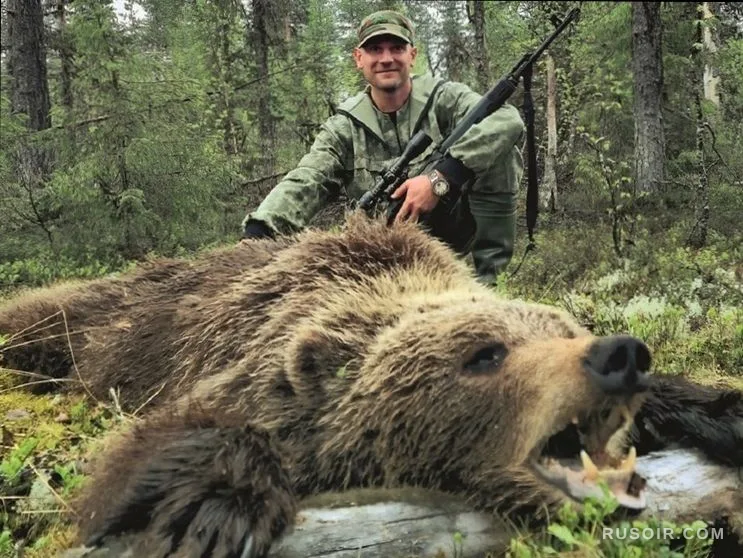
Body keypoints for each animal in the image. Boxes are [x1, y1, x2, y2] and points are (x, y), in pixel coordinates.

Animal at [1, 214, 741, 558]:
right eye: (485, 354)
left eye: (564, 326)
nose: (617, 355)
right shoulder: (229, 357)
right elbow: (150, 445)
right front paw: (216, 509)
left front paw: (723, 411)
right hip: (86, 320)